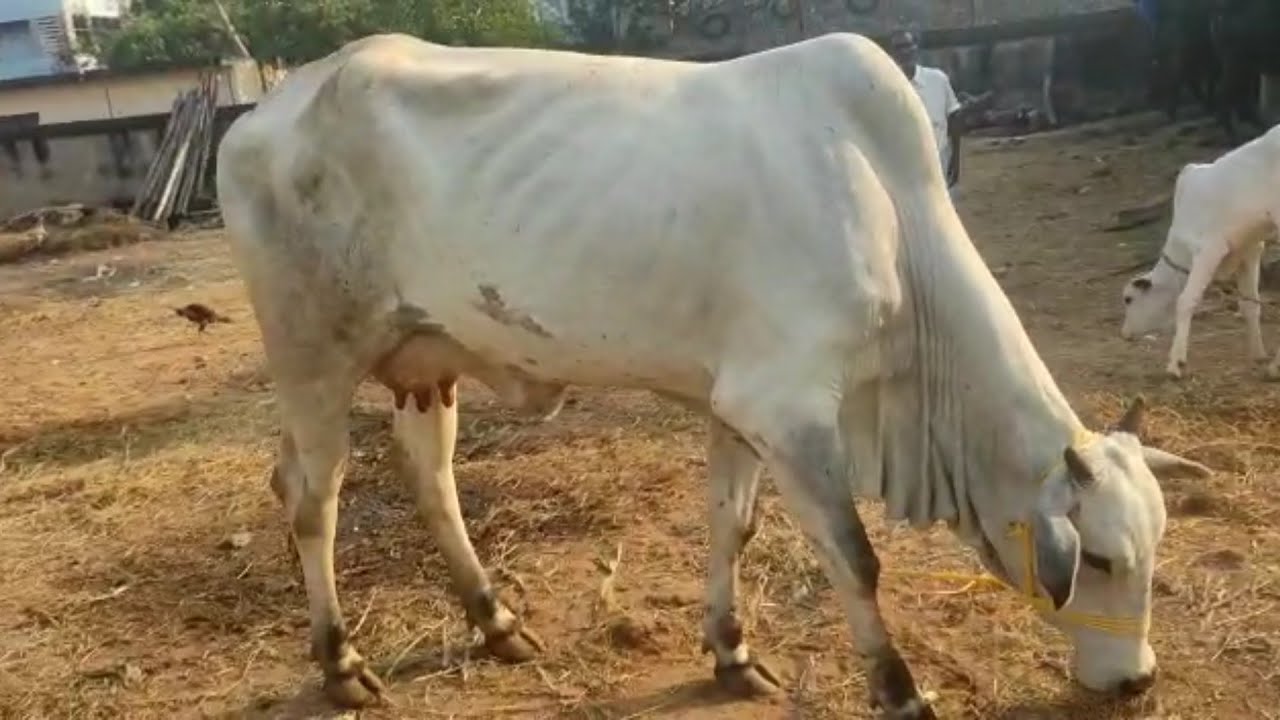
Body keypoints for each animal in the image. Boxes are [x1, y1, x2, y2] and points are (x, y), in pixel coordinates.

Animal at [216, 32, 1212, 718]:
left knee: (428, 477)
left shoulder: (737, 407)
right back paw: (341, 664)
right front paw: (901, 692)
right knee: (311, 496)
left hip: (427, 359)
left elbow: (732, 526)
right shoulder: (791, 411)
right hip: (312, 356)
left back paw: (495, 622)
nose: (1137, 681)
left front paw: (732, 653)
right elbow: (856, 558)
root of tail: (264, 112)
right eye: (1105, 559)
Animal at [1120, 123, 1280, 378]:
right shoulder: (1250, 250)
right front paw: (1259, 354)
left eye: (1128, 299)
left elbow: (1186, 301)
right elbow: (1250, 304)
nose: (1124, 334)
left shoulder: (1209, 249)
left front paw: (1175, 363)